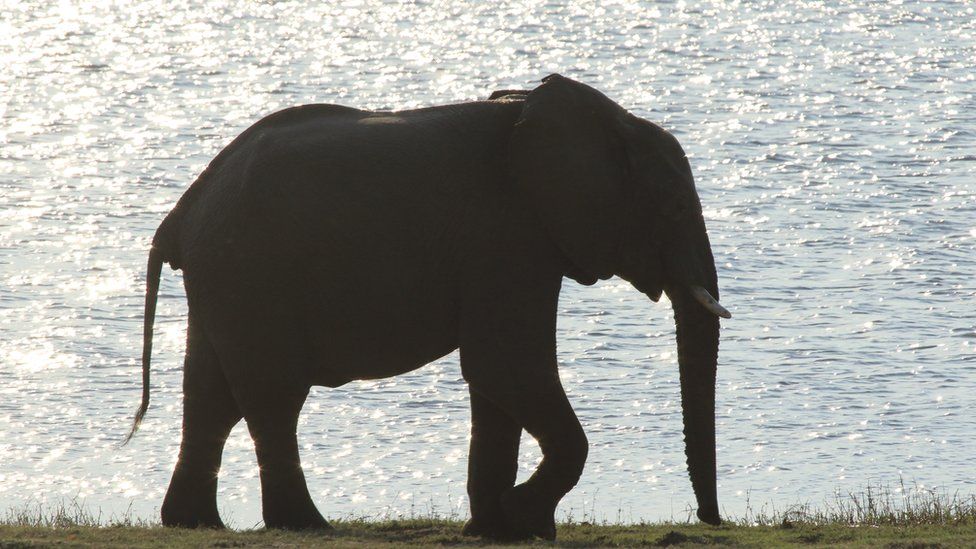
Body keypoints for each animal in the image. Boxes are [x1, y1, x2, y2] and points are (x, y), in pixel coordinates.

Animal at [127, 74, 731, 540]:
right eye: (676, 208)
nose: (711, 521)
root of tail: (181, 213)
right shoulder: (507, 235)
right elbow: (505, 365)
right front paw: (522, 519)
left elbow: (495, 382)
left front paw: (499, 530)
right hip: (252, 272)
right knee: (273, 397)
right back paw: (305, 525)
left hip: (225, 277)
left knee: (211, 395)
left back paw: (194, 524)